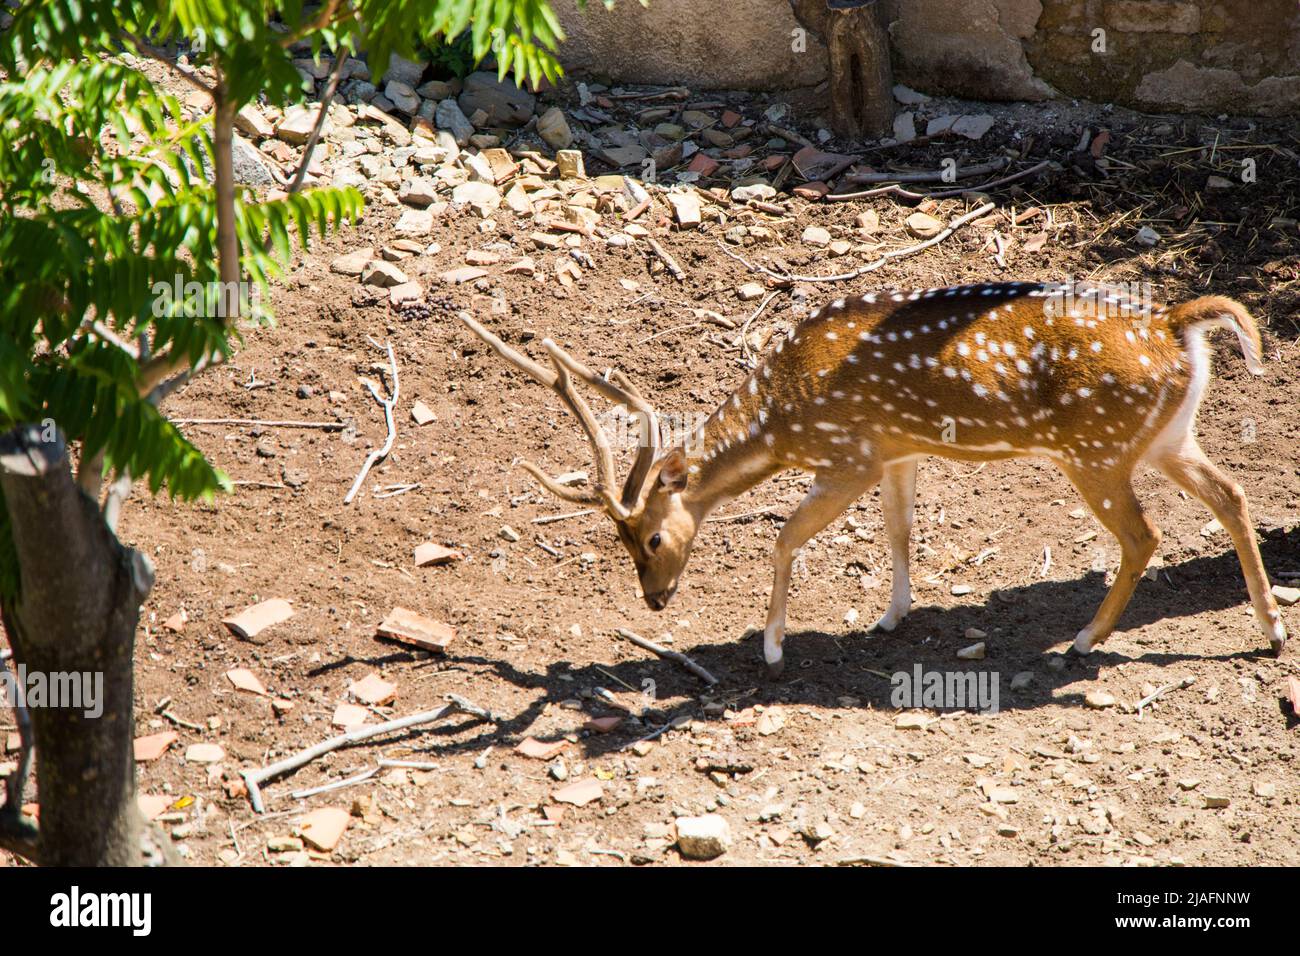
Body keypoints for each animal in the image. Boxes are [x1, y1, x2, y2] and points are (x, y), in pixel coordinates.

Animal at [458, 280, 1287, 677]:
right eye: (623, 543)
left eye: (652, 537)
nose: (654, 600)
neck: (783, 417)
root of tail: (1177, 326)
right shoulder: (897, 451)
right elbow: (899, 531)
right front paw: (891, 616)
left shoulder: (850, 455)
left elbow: (785, 537)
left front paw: (772, 648)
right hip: (1166, 437)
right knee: (1234, 494)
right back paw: (1272, 629)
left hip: (1096, 450)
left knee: (1144, 534)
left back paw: (1083, 640)